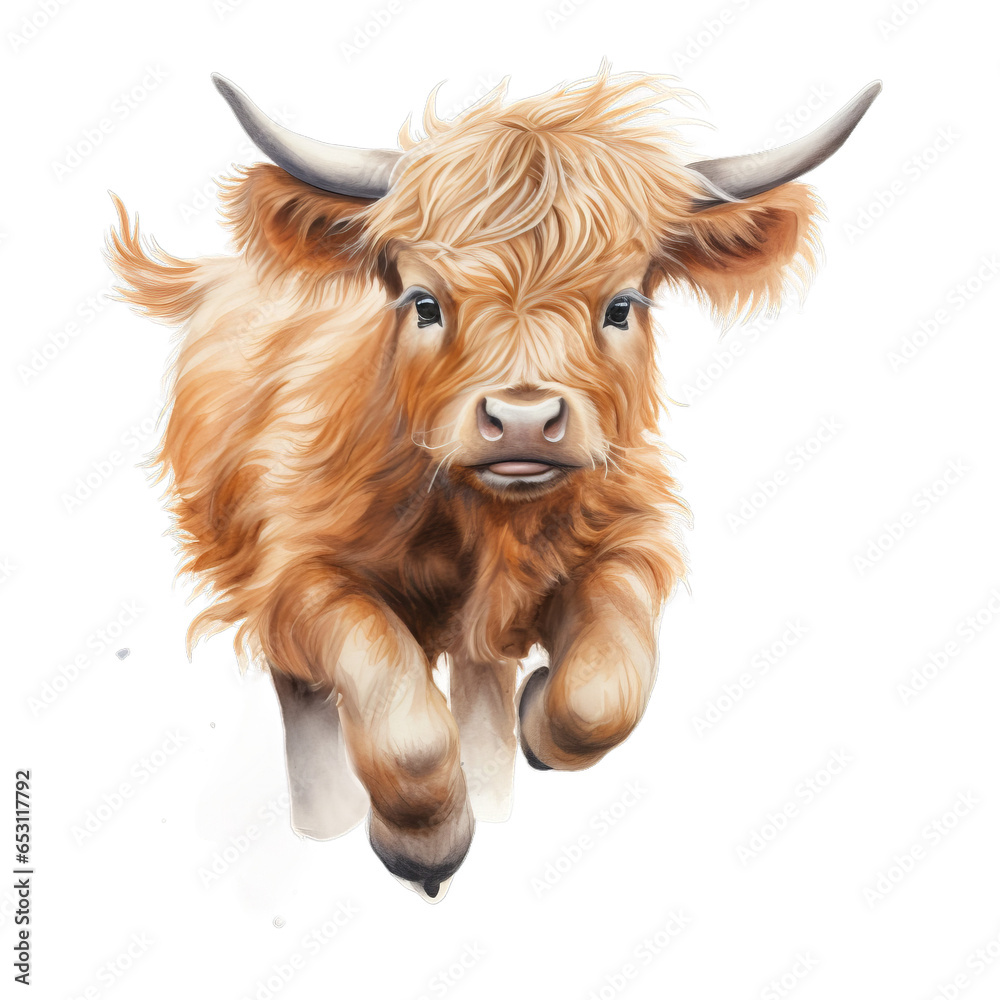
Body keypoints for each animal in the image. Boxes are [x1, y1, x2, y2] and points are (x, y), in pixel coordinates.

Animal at [106, 67, 879, 901]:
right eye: (424, 303)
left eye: (621, 306)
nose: (521, 421)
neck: (486, 521)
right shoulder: (299, 575)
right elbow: (404, 721)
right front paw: (424, 843)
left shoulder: (621, 545)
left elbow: (601, 695)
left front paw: (537, 719)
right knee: (308, 699)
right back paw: (330, 818)